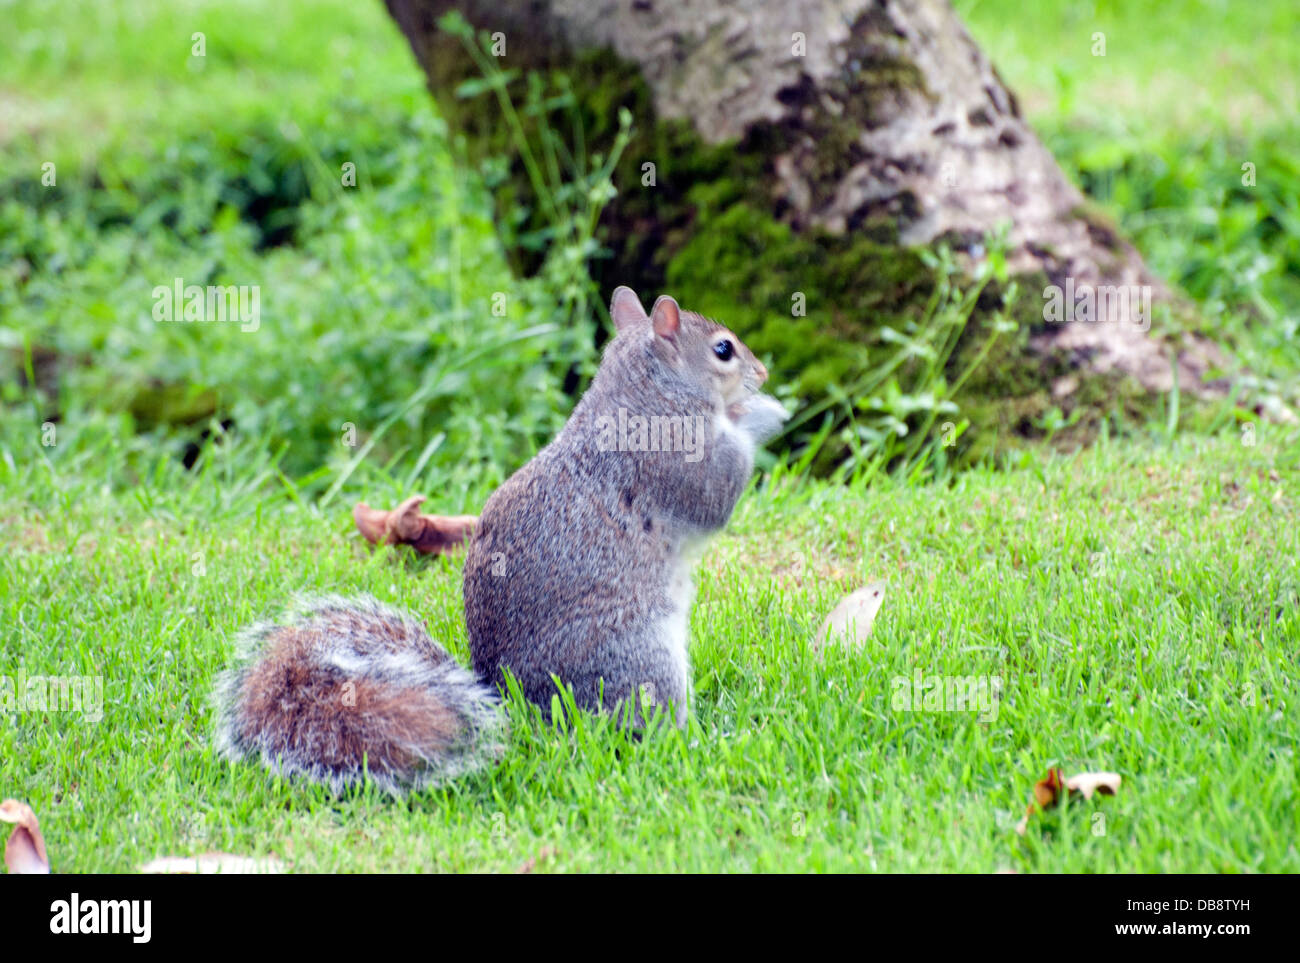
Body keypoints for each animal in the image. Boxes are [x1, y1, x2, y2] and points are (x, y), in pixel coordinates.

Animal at [214, 287, 788, 795]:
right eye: (723, 349)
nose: (763, 372)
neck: (647, 391)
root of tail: (513, 700)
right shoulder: (673, 458)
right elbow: (717, 490)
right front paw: (766, 413)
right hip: (638, 656)